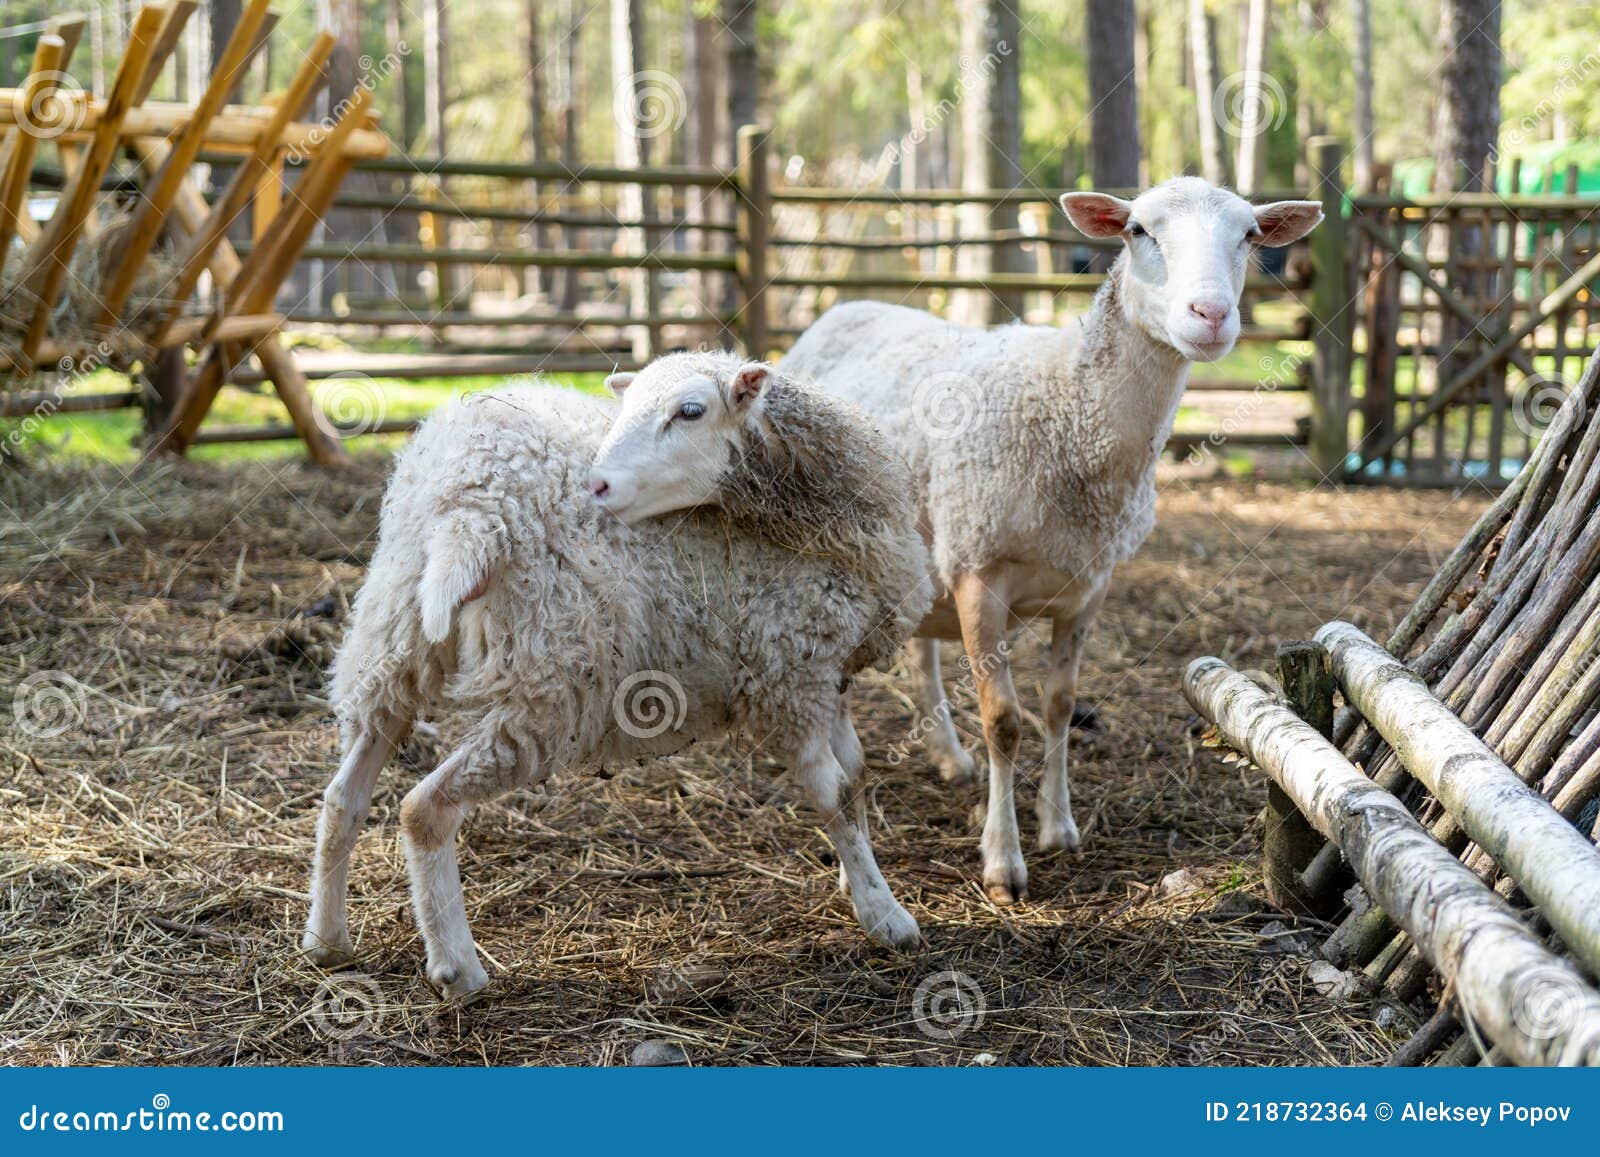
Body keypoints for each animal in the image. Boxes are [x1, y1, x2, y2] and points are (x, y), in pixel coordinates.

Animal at [302, 352, 932, 996]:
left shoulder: (827, 671)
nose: (598, 485)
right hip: (550, 683)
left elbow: (857, 772)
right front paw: (885, 915)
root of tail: (468, 501)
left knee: (343, 796)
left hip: (391, 645)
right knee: (423, 809)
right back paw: (458, 969)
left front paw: (853, 878)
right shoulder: (788, 675)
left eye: (690, 410)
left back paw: (327, 941)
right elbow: (835, 792)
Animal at [783, 177, 1322, 903]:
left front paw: (1058, 826)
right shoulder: (980, 572)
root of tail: (839, 311)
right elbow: (1005, 721)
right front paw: (1003, 860)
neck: (1070, 404)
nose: (1210, 314)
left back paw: (948, 756)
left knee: (922, 652)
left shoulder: (1088, 583)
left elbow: (1060, 706)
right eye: (1139, 231)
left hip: (929, 540)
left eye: (1250, 235)